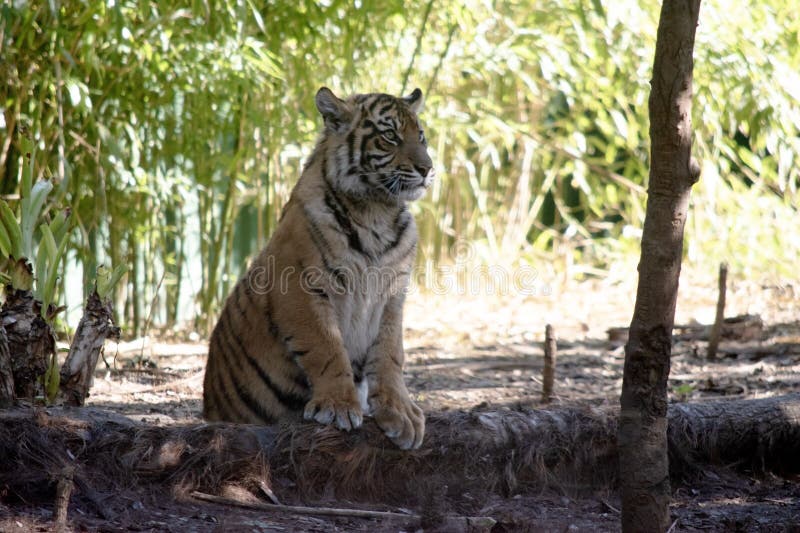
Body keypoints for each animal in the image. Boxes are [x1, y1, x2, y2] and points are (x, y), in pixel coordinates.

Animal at [202, 87, 433, 450]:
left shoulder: (392, 296)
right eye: (390, 136)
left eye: (420, 136)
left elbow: (390, 354)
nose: (427, 168)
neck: (377, 211)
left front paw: (401, 412)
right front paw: (338, 406)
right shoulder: (301, 288)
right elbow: (326, 347)